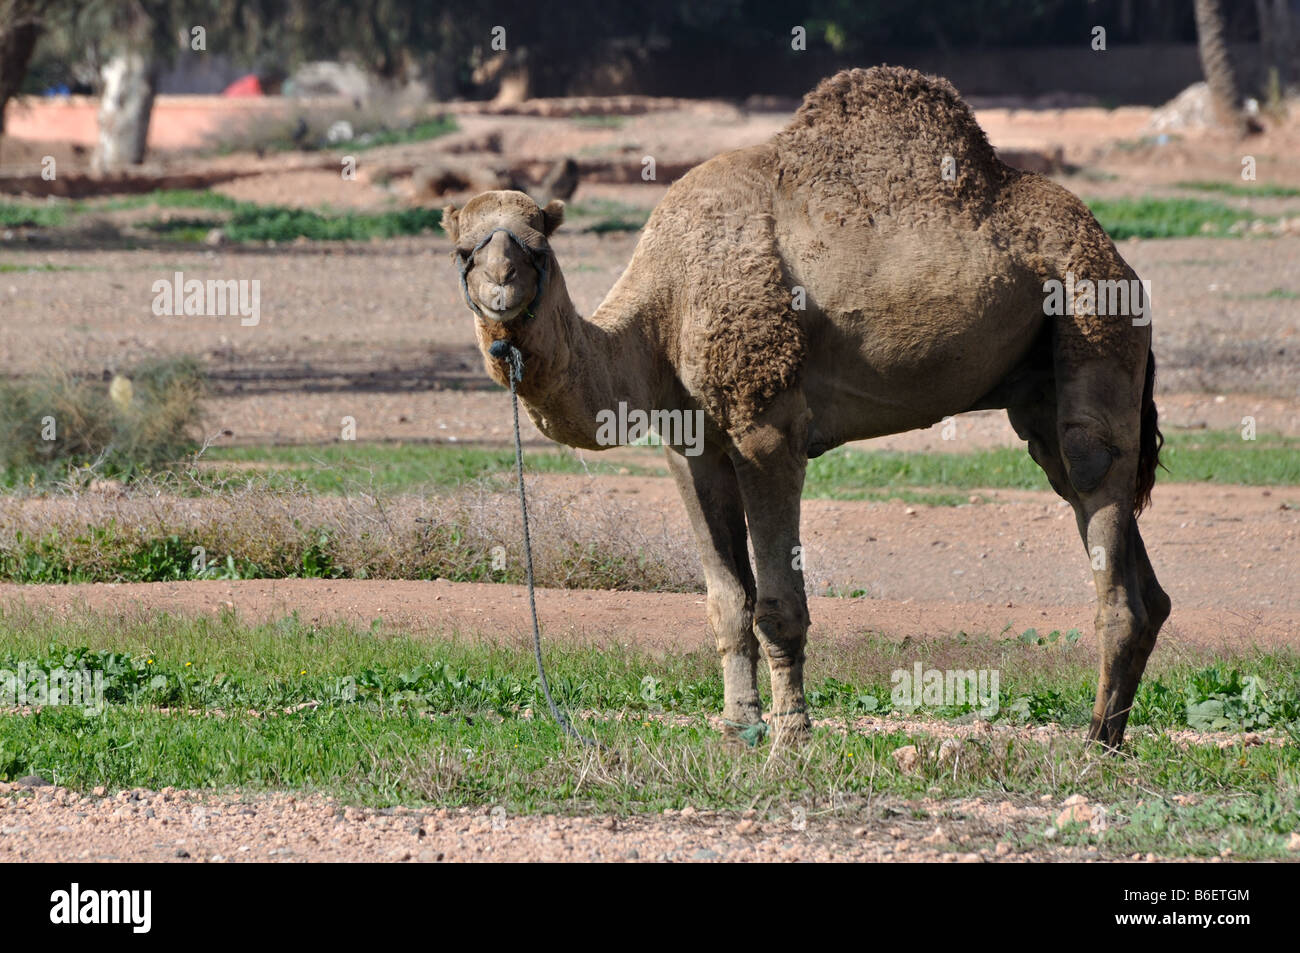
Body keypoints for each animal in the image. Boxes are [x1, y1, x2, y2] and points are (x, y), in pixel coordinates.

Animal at [444, 66, 1168, 749]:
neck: (663, 310)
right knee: (1101, 512)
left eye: (536, 247)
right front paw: (736, 730)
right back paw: (1111, 736)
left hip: (1094, 311)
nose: (502, 288)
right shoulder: (690, 444)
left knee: (1092, 465)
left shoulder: (767, 428)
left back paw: (1090, 742)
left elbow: (776, 607)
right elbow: (726, 601)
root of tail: (1117, 255)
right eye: (464, 250)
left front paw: (790, 743)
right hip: (1040, 378)